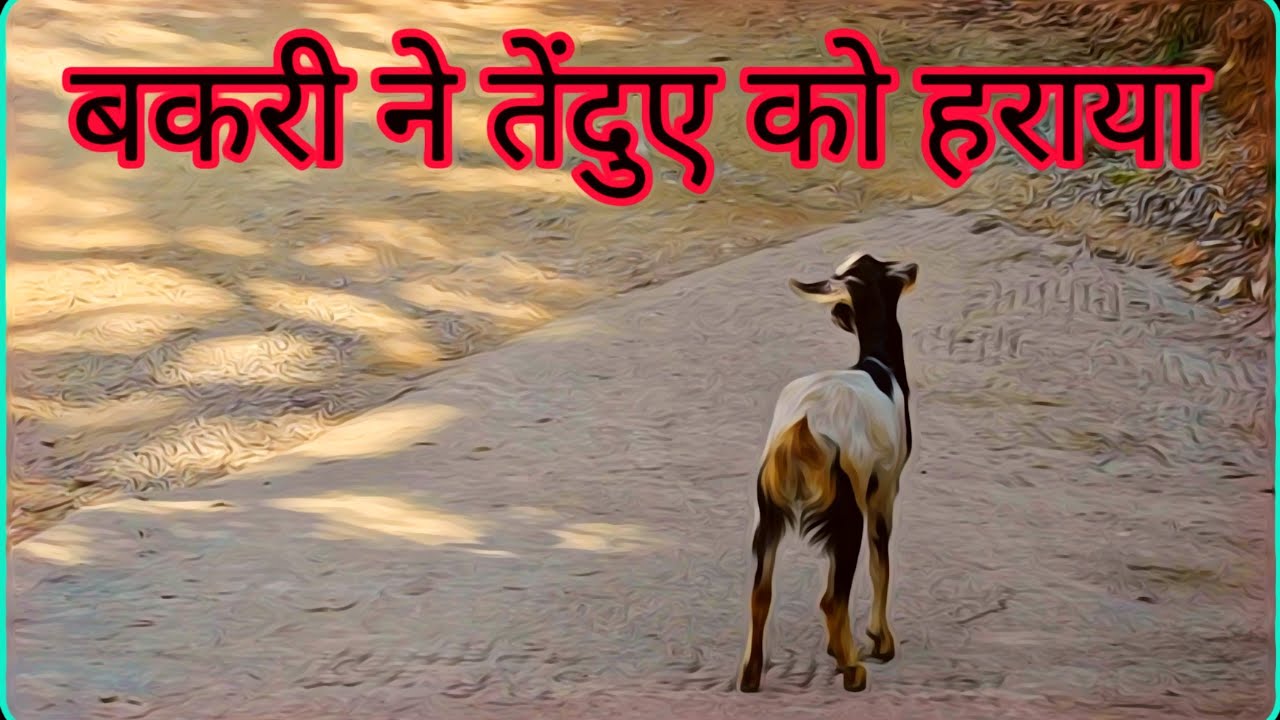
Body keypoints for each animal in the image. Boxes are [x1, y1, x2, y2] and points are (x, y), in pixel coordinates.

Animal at [738, 252, 918, 694]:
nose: (914, 268)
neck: (880, 368)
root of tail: (803, 428)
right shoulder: (884, 489)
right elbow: (881, 561)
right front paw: (880, 642)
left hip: (767, 513)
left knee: (760, 592)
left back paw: (750, 675)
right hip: (846, 511)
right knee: (832, 596)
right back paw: (854, 671)